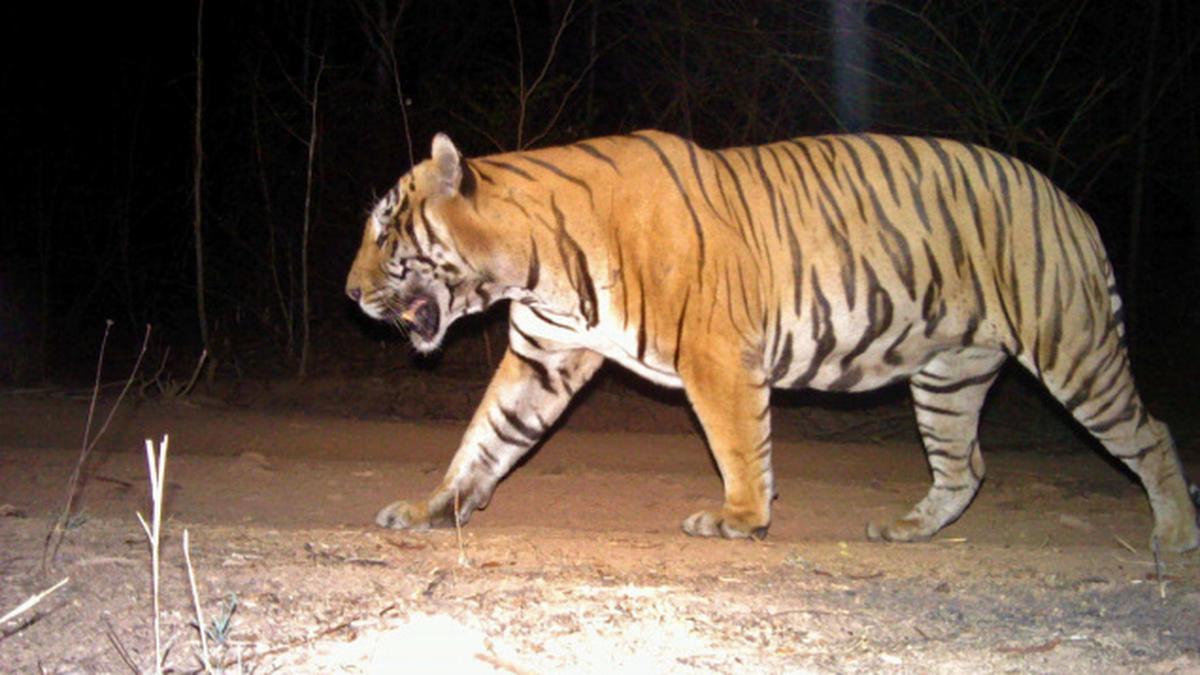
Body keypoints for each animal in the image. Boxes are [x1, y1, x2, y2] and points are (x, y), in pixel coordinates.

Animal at [345, 130, 1199, 552]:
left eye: (385, 231)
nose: (349, 293)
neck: (526, 264)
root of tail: (1074, 206)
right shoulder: (541, 358)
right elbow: (486, 436)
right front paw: (435, 506)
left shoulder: (716, 352)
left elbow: (736, 442)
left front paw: (740, 519)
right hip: (948, 376)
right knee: (967, 467)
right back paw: (906, 531)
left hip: (1072, 347)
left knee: (1152, 433)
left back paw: (1176, 535)